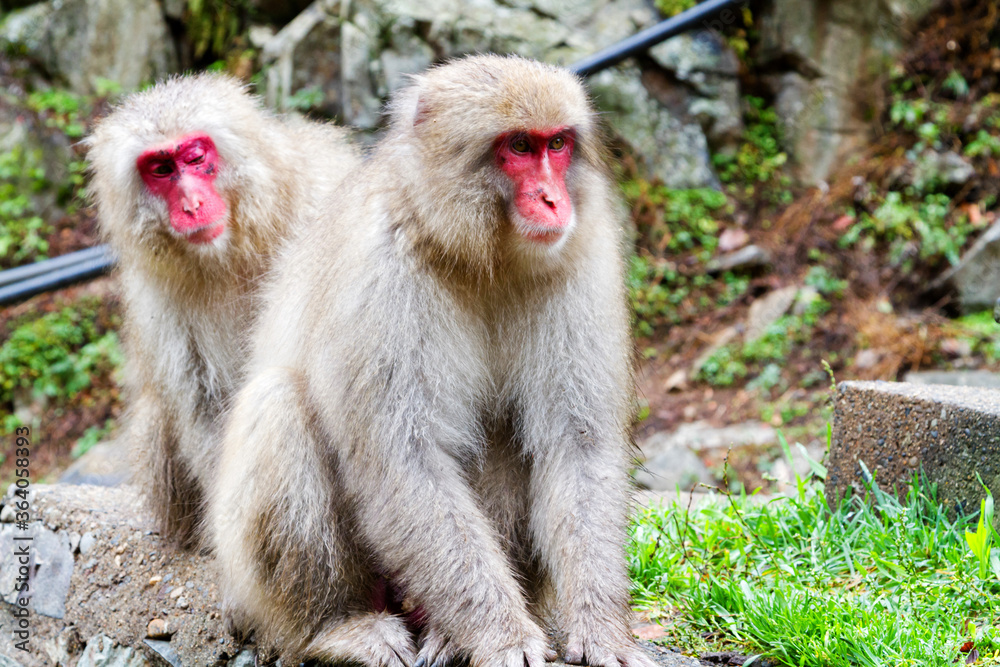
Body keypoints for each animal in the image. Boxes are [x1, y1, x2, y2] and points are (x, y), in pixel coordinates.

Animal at [85, 73, 360, 548]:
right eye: (160, 169)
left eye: (195, 158)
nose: (192, 204)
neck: (234, 250)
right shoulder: (154, 294)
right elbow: (206, 404)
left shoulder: (322, 205)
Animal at [209, 54, 656, 667]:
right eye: (519, 147)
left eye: (558, 144)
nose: (552, 199)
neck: (477, 254)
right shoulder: (381, 269)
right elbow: (404, 462)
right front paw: (503, 637)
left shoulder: (580, 254)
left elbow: (577, 442)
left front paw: (602, 627)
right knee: (277, 405)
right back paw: (338, 625)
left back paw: (443, 629)